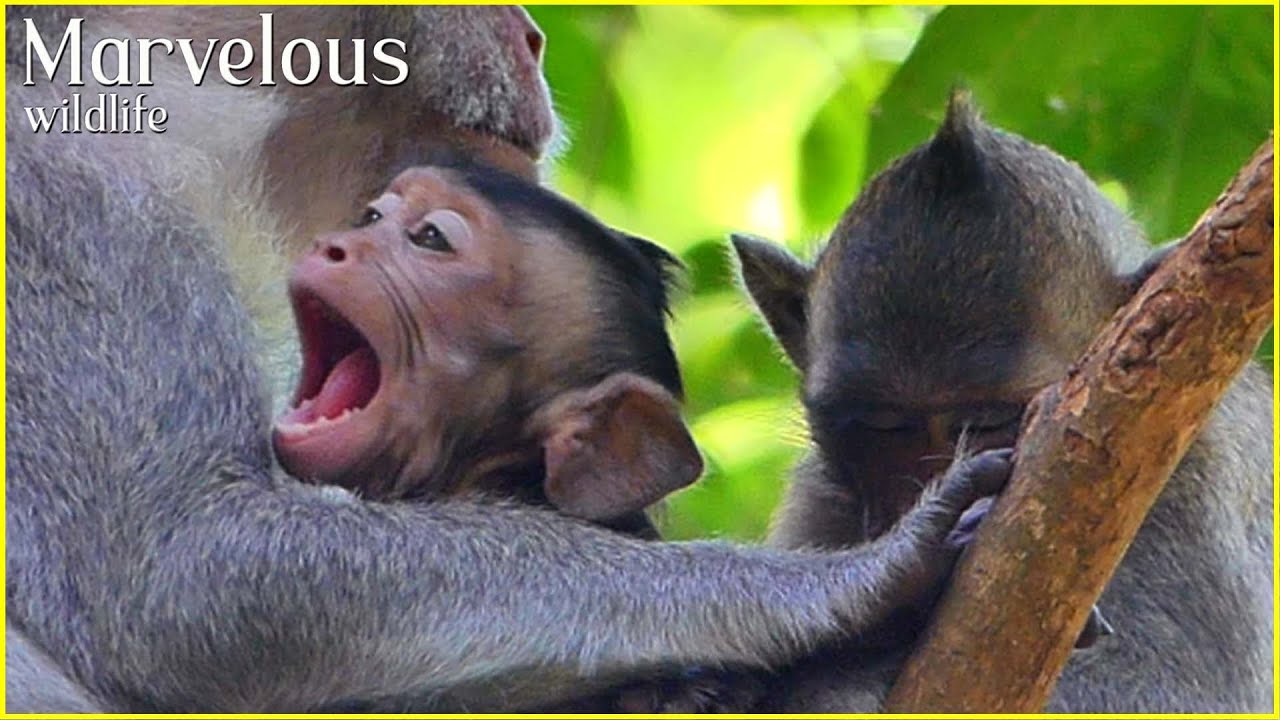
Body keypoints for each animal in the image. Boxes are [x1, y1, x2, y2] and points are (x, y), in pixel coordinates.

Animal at [6, 6, 1014, 709]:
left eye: (425, 238)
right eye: (377, 220)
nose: (531, 34)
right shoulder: (72, 202)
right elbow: (175, 579)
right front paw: (857, 584)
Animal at [705, 92, 1272, 712]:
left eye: (985, 422)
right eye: (882, 428)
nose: (910, 498)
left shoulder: (1192, 486)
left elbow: (1178, 684)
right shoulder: (824, 495)